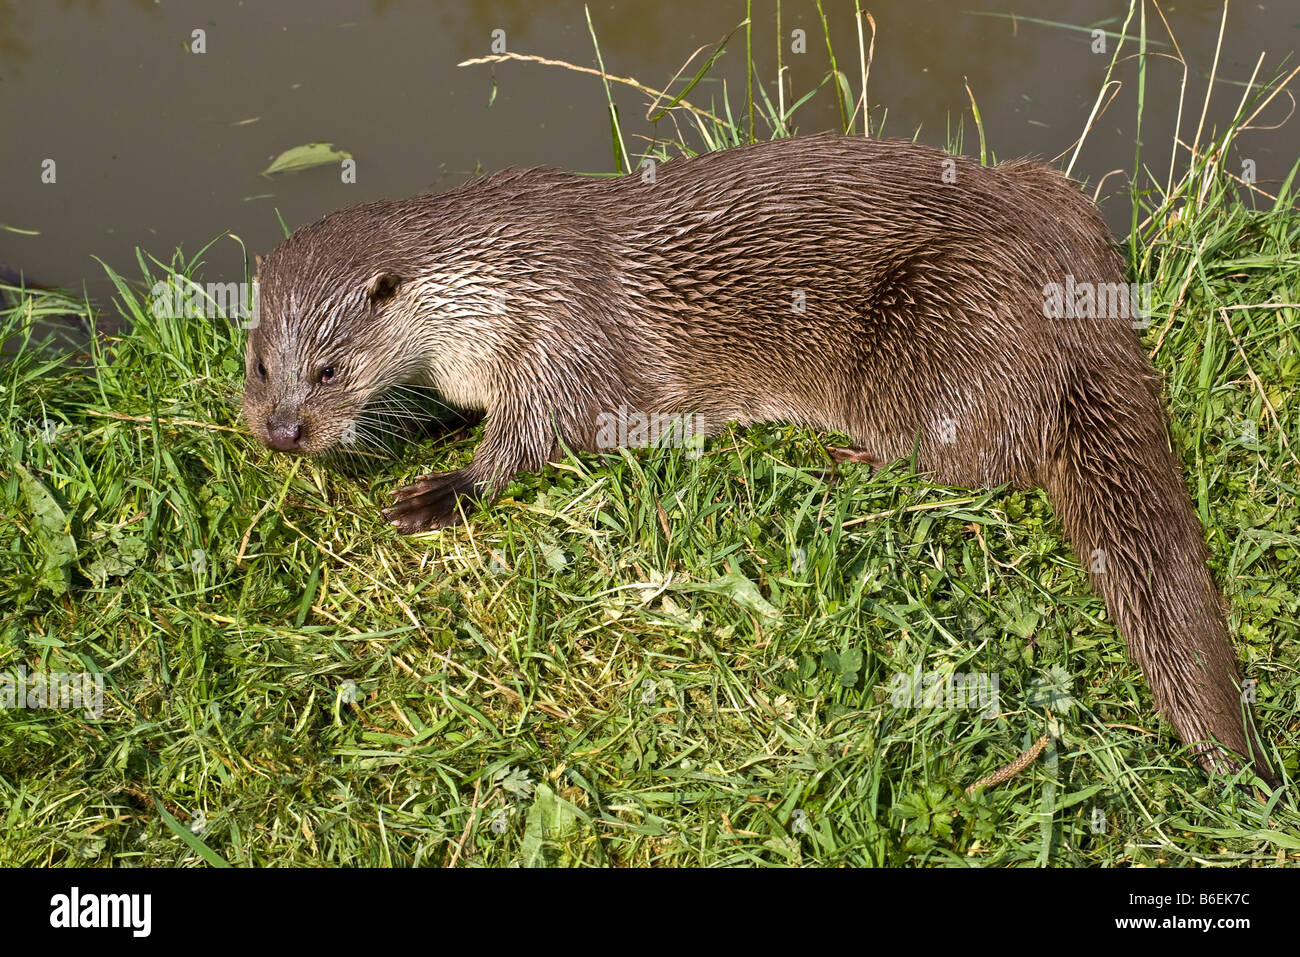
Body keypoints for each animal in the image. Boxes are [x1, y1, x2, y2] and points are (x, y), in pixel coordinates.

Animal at [243, 133, 1275, 785]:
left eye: (330, 369)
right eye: (258, 364)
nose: (284, 431)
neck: (493, 290)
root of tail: (1076, 277)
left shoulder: (564, 338)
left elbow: (533, 439)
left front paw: (440, 490)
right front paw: (422, 432)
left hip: (945, 324)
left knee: (982, 457)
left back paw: (853, 460)